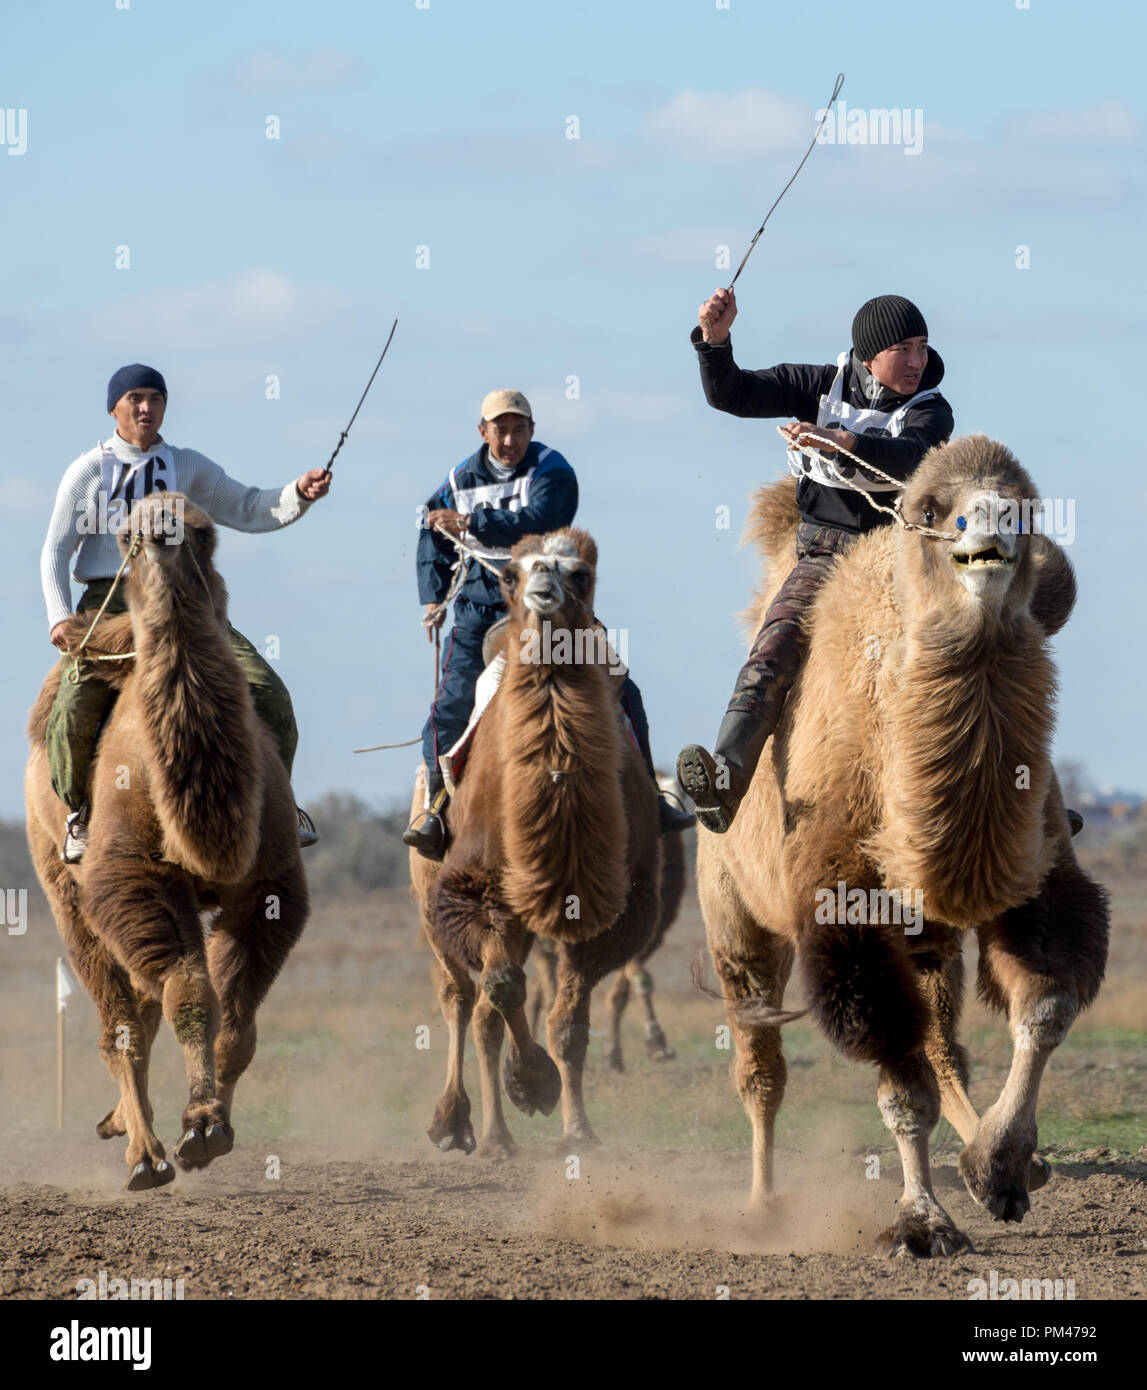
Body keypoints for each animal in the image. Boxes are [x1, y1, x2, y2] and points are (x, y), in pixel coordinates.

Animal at [25, 493, 309, 1190]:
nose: (159, 532)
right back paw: (143, 1154)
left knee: (143, 1000)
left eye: (205, 532)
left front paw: (212, 1127)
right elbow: (191, 995)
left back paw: (124, 1124)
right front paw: (198, 1128)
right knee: (119, 1019)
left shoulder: (270, 885)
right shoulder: (136, 877)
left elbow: (237, 1019)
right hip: (62, 887)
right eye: (125, 532)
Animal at [410, 527, 661, 1155]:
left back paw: (497, 1131)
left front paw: (577, 1128)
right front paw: (532, 1083)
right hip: (429, 895)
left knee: (490, 1007)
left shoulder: (612, 907)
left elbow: (568, 1022)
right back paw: (463, 1126)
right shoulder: (470, 893)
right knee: (462, 1000)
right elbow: (501, 990)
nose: (544, 589)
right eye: (508, 574)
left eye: (583, 573)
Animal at [695, 435, 1109, 1256]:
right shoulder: (842, 912)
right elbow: (897, 1076)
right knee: (761, 1065)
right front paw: (923, 1222)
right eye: (931, 510)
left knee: (944, 1046)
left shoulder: (1036, 872)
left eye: (1026, 506)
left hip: (929, 940)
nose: (991, 528)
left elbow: (1044, 1007)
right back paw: (762, 1205)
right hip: (733, 916)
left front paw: (1001, 1170)